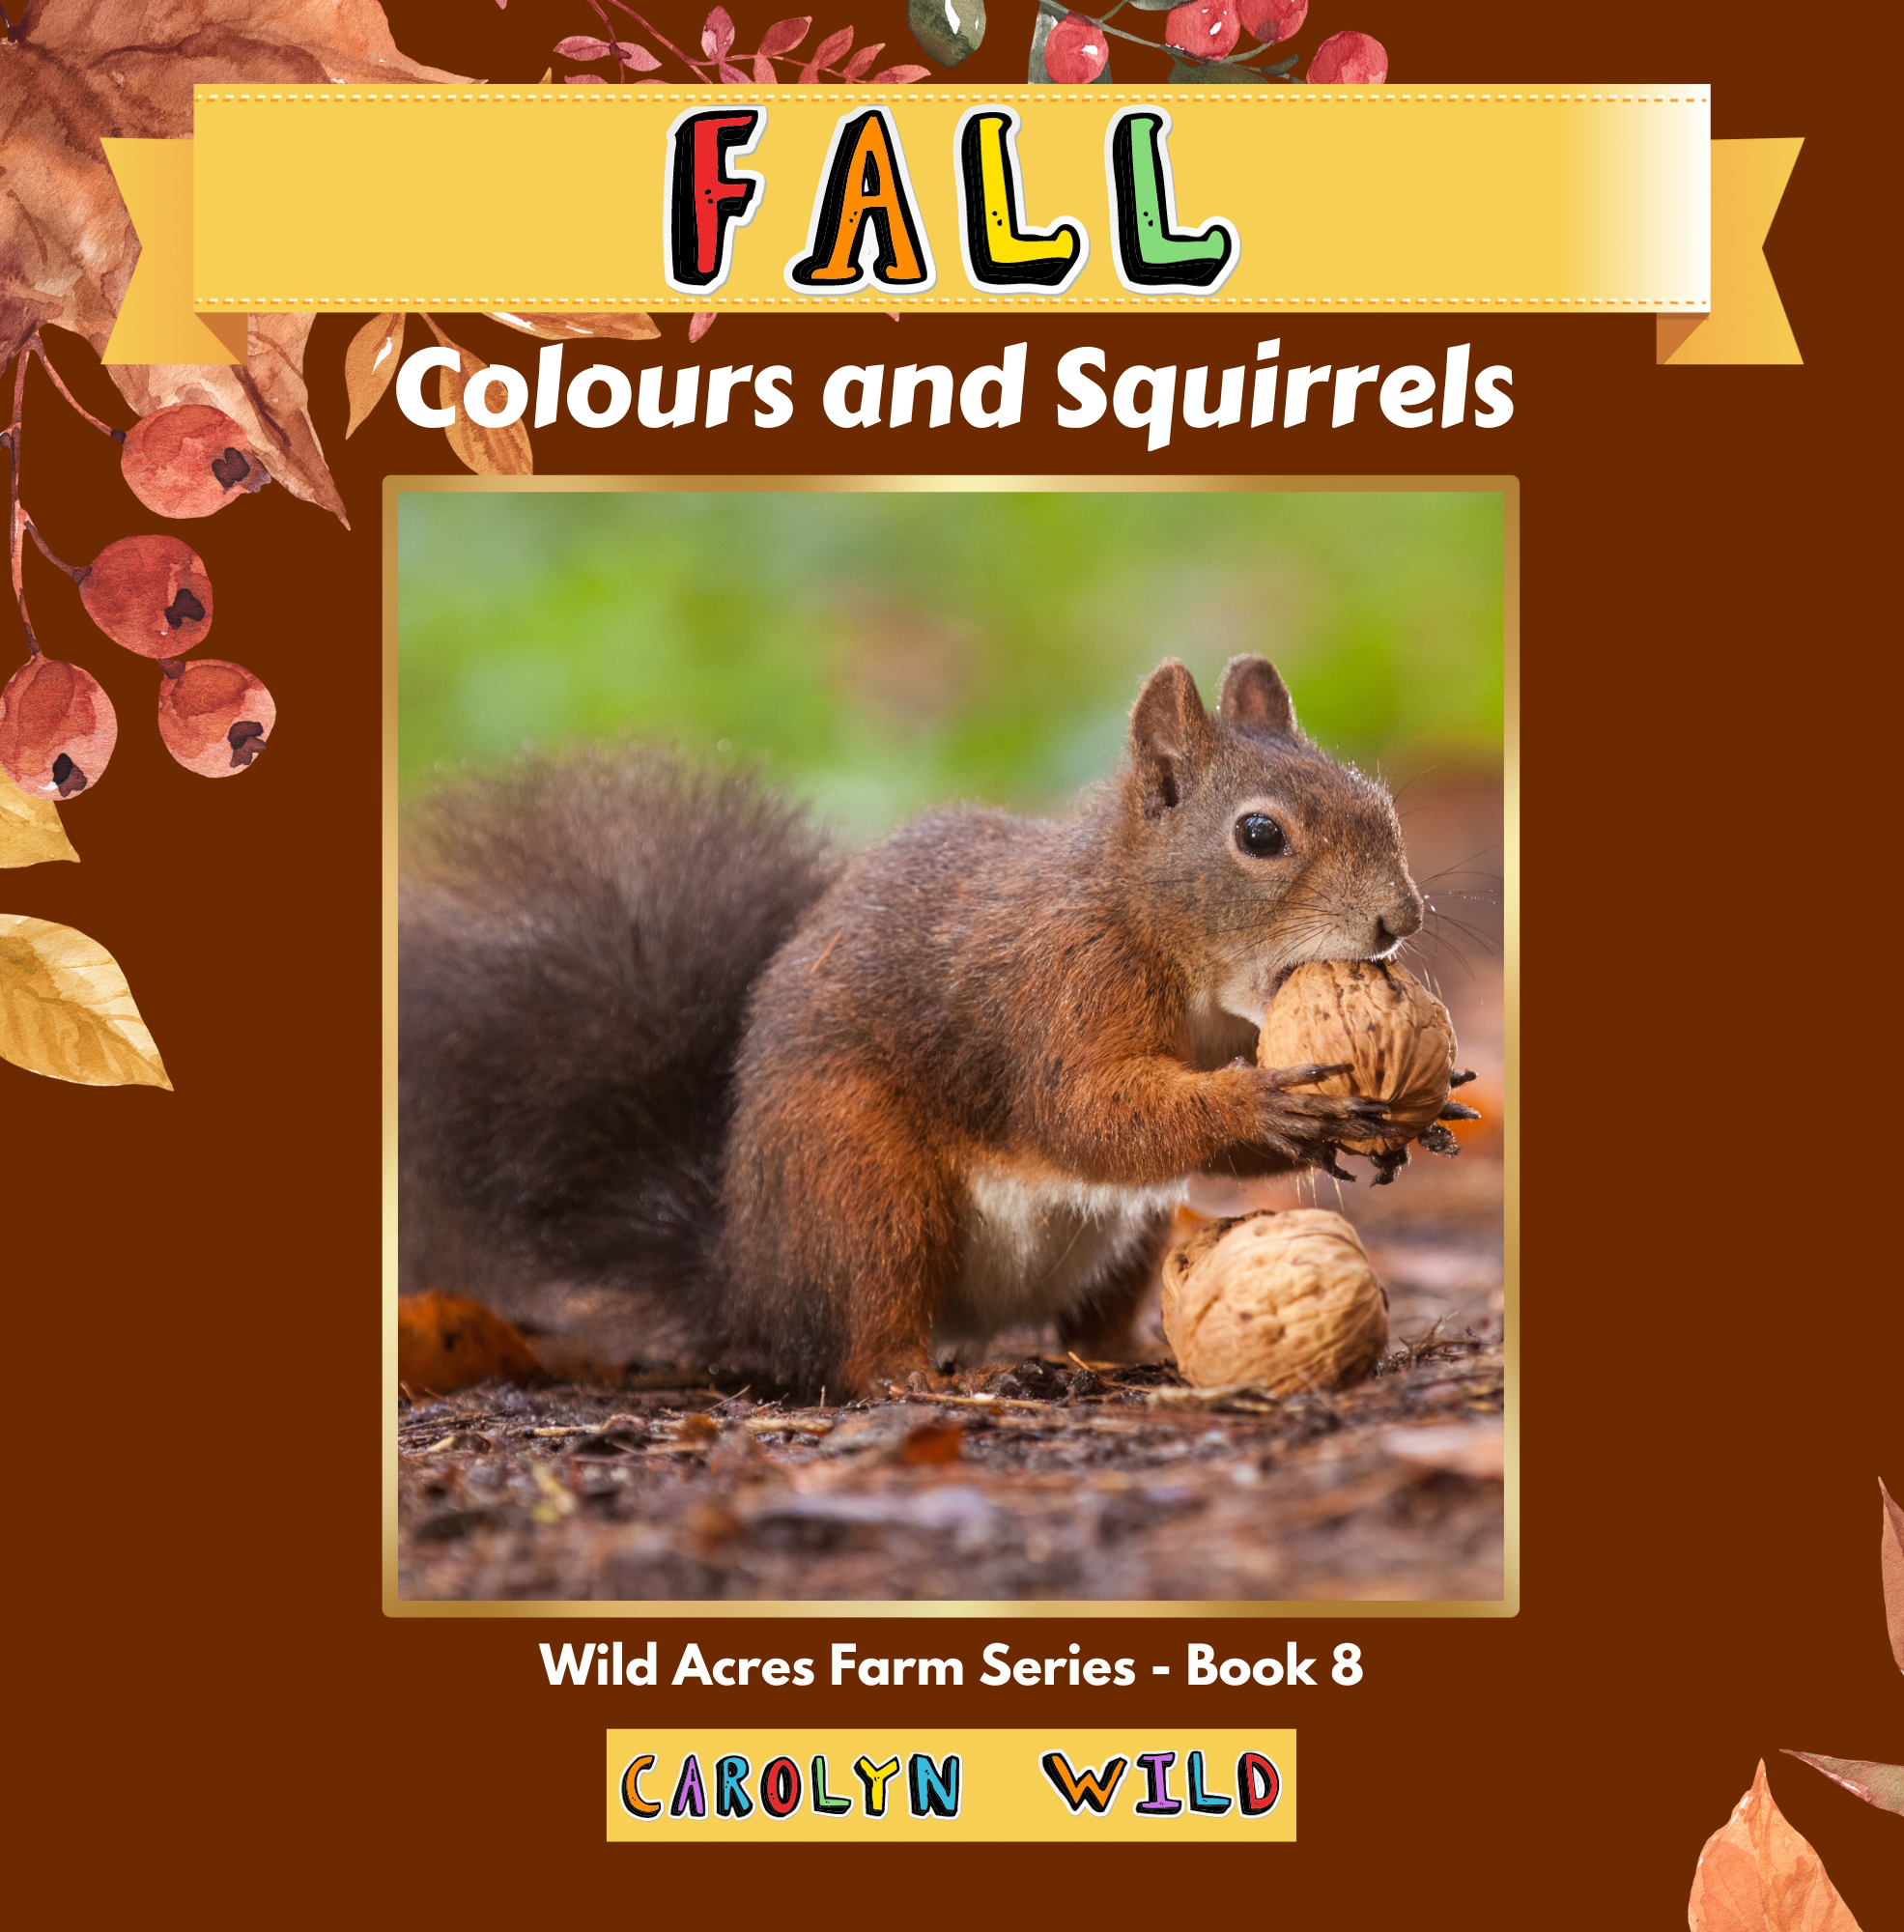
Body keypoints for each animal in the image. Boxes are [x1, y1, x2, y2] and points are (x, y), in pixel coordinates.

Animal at [399, 654, 1424, 1398]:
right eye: (1259, 836)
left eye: (1378, 801)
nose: (1399, 919)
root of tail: (748, 1276)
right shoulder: (1059, 990)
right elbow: (1084, 1112)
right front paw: (1268, 1109)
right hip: (863, 1186)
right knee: (863, 1327)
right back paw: (909, 1379)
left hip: (1125, 1235)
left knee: (1092, 1313)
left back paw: (1131, 1350)